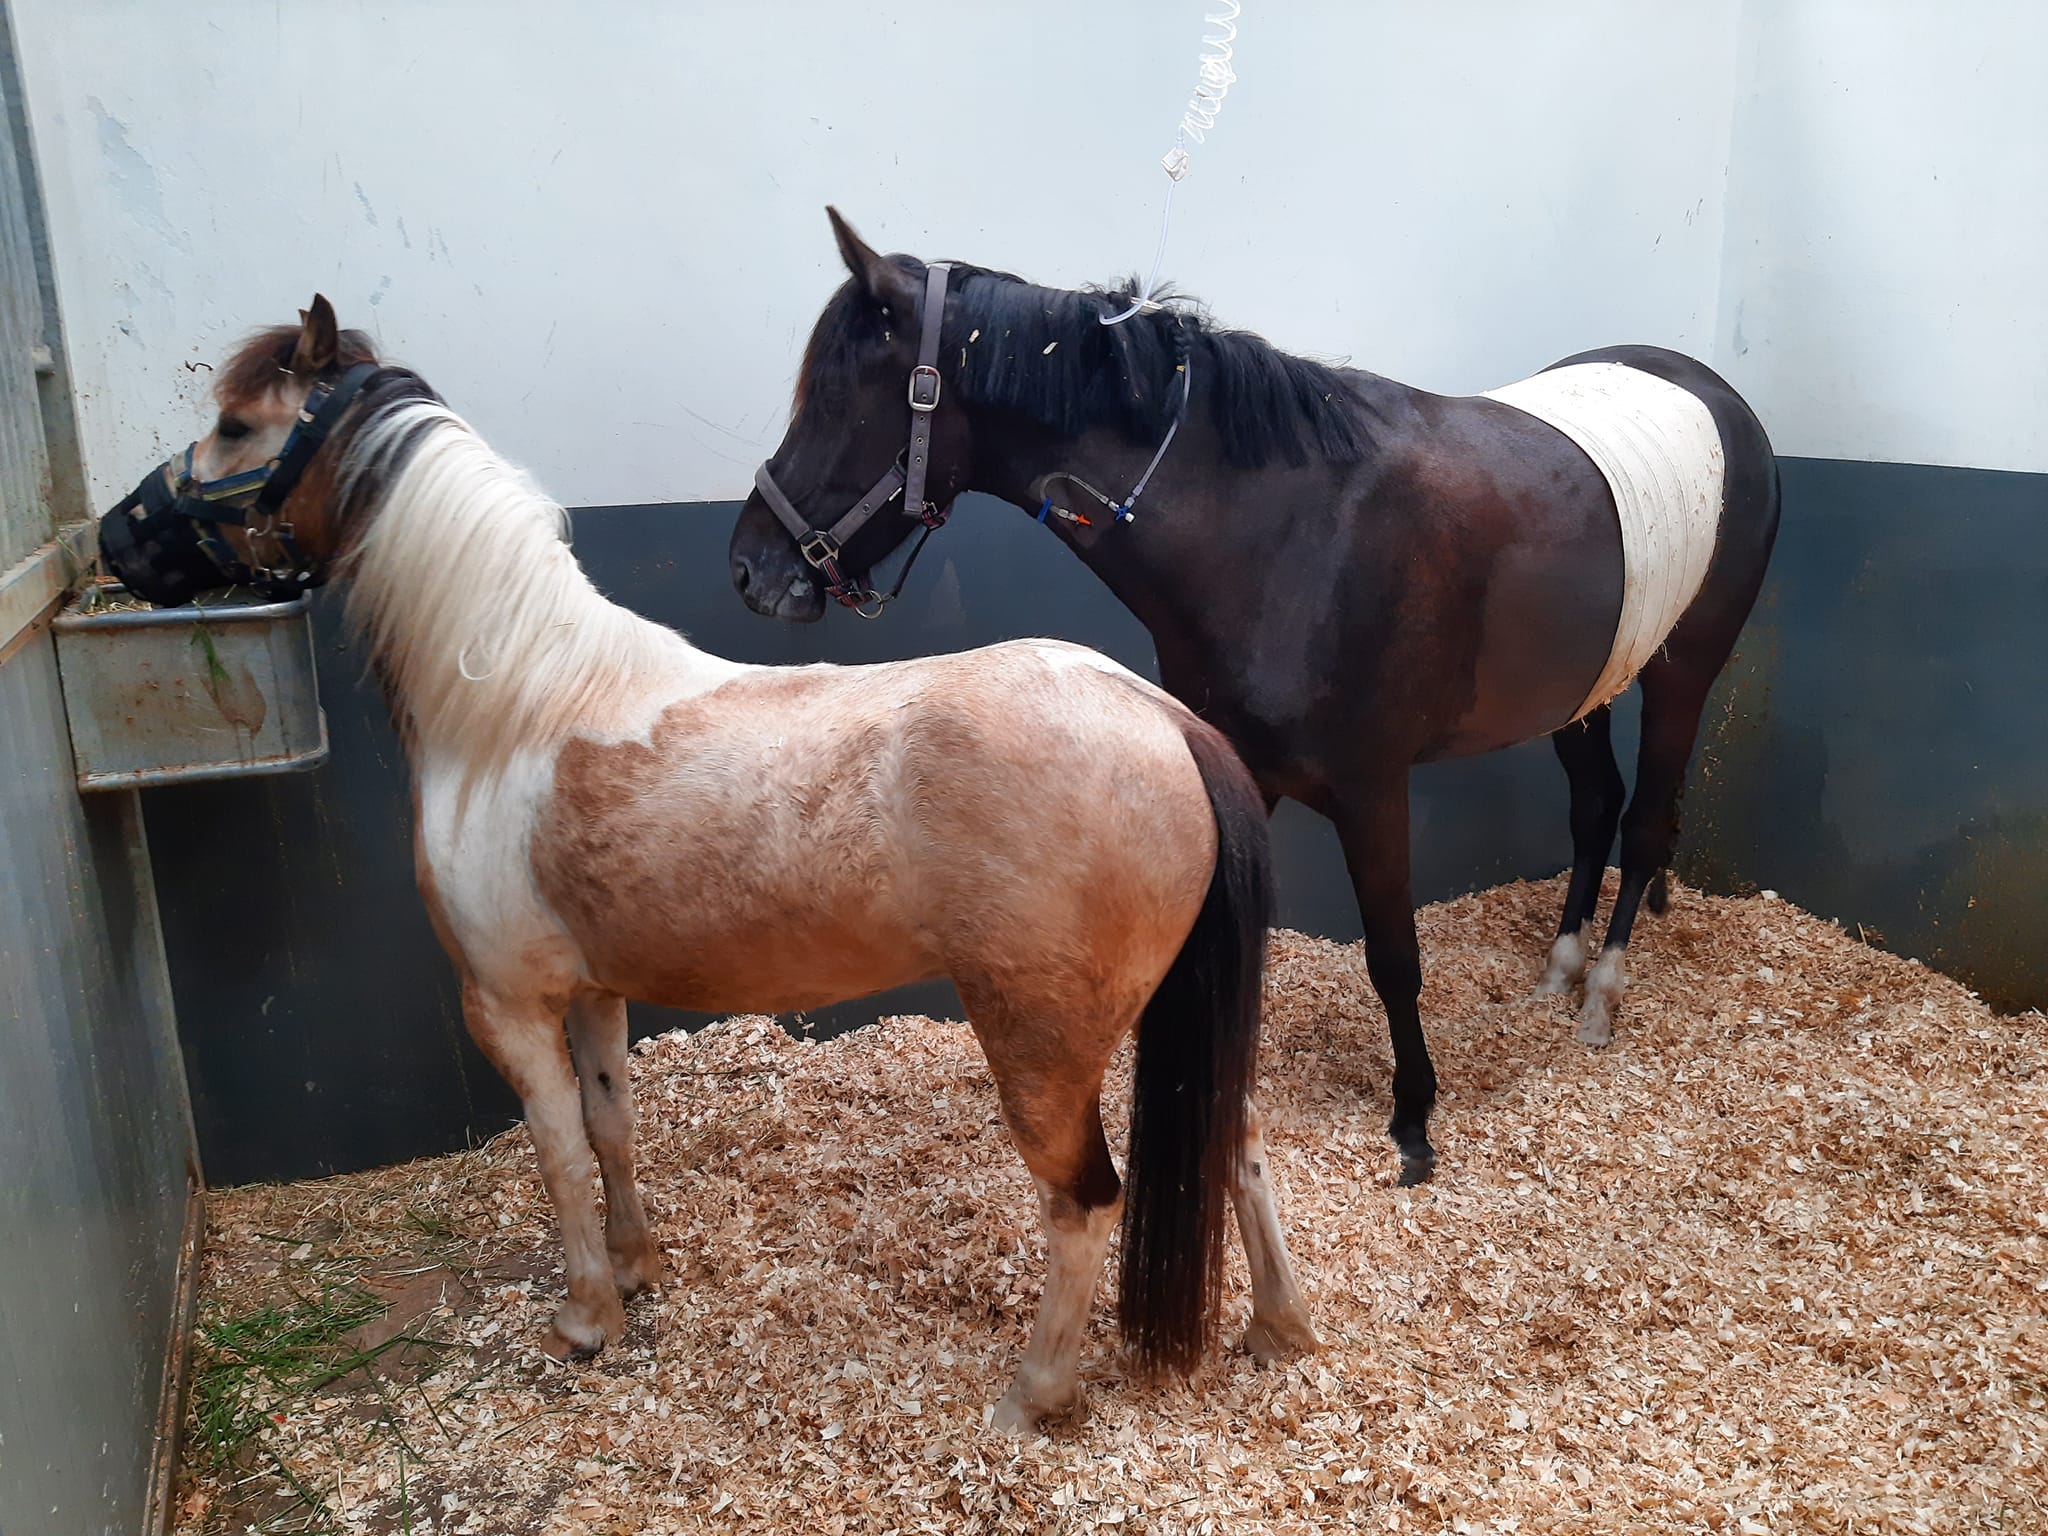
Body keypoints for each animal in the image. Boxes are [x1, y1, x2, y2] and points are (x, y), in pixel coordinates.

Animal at [96, 295, 1321, 1431]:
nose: (114, 540)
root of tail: (1162, 718)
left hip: (1044, 1044)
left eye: (235, 424)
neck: (514, 703)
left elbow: (555, 1152)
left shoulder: (505, 1005)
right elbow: (609, 1127)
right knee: (1238, 1140)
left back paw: (1034, 1395)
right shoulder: (593, 993)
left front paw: (586, 1316)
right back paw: (1279, 1329)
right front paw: (640, 1270)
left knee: (1083, 1202)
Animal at [730, 210, 1781, 1188]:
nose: (750, 569)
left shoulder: (1371, 790)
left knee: (1645, 820)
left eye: (837, 396)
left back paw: (1601, 991)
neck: (1279, 530)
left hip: (1682, 672)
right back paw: (1559, 971)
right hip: (1584, 686)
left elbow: (1393, 954)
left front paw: (1415, 1118)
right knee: (1596, 808)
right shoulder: (1242, 768)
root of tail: (1723, 396)